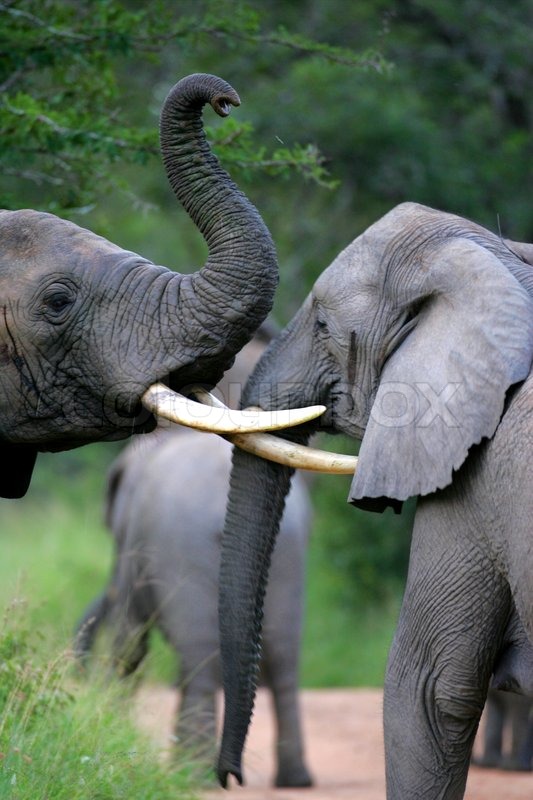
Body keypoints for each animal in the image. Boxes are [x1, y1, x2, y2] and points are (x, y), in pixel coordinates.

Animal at [74, 327, 313, 788]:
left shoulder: (135, 543)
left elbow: (130, 641)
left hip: (179, 552)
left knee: (199, 657)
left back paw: (195, 778)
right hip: (288, 558)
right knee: (281, 658)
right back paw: (292, 781)